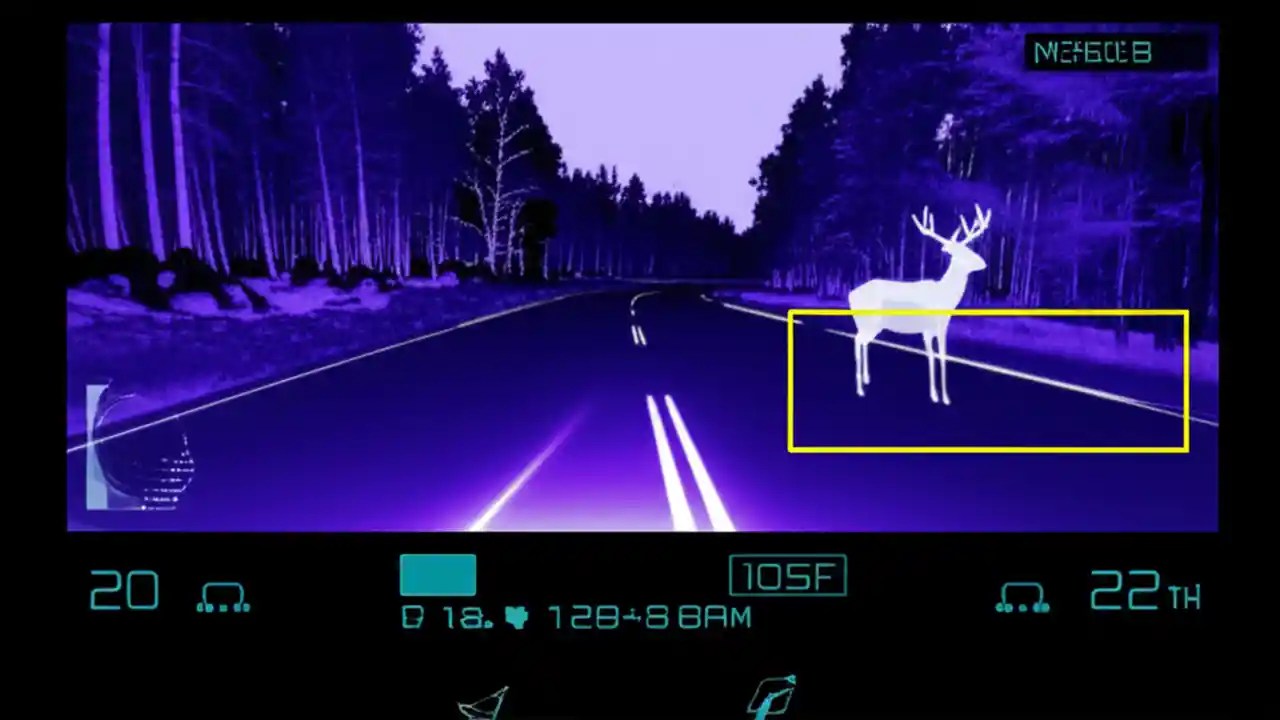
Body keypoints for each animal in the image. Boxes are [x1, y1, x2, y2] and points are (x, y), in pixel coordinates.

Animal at [848, 203, 991, 405]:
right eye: (962, 253)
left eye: (969, 249)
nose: (983, 262)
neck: (945, 297)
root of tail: (851, 295)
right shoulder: (931, 328)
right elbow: (935, 357)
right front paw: (939, 396)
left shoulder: (939, 328)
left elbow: (940, 356)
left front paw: (942, 395)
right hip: (871, 322)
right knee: (857, 340)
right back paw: (860, 388)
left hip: (869, 324)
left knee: (863, 341)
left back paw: (867, 379)